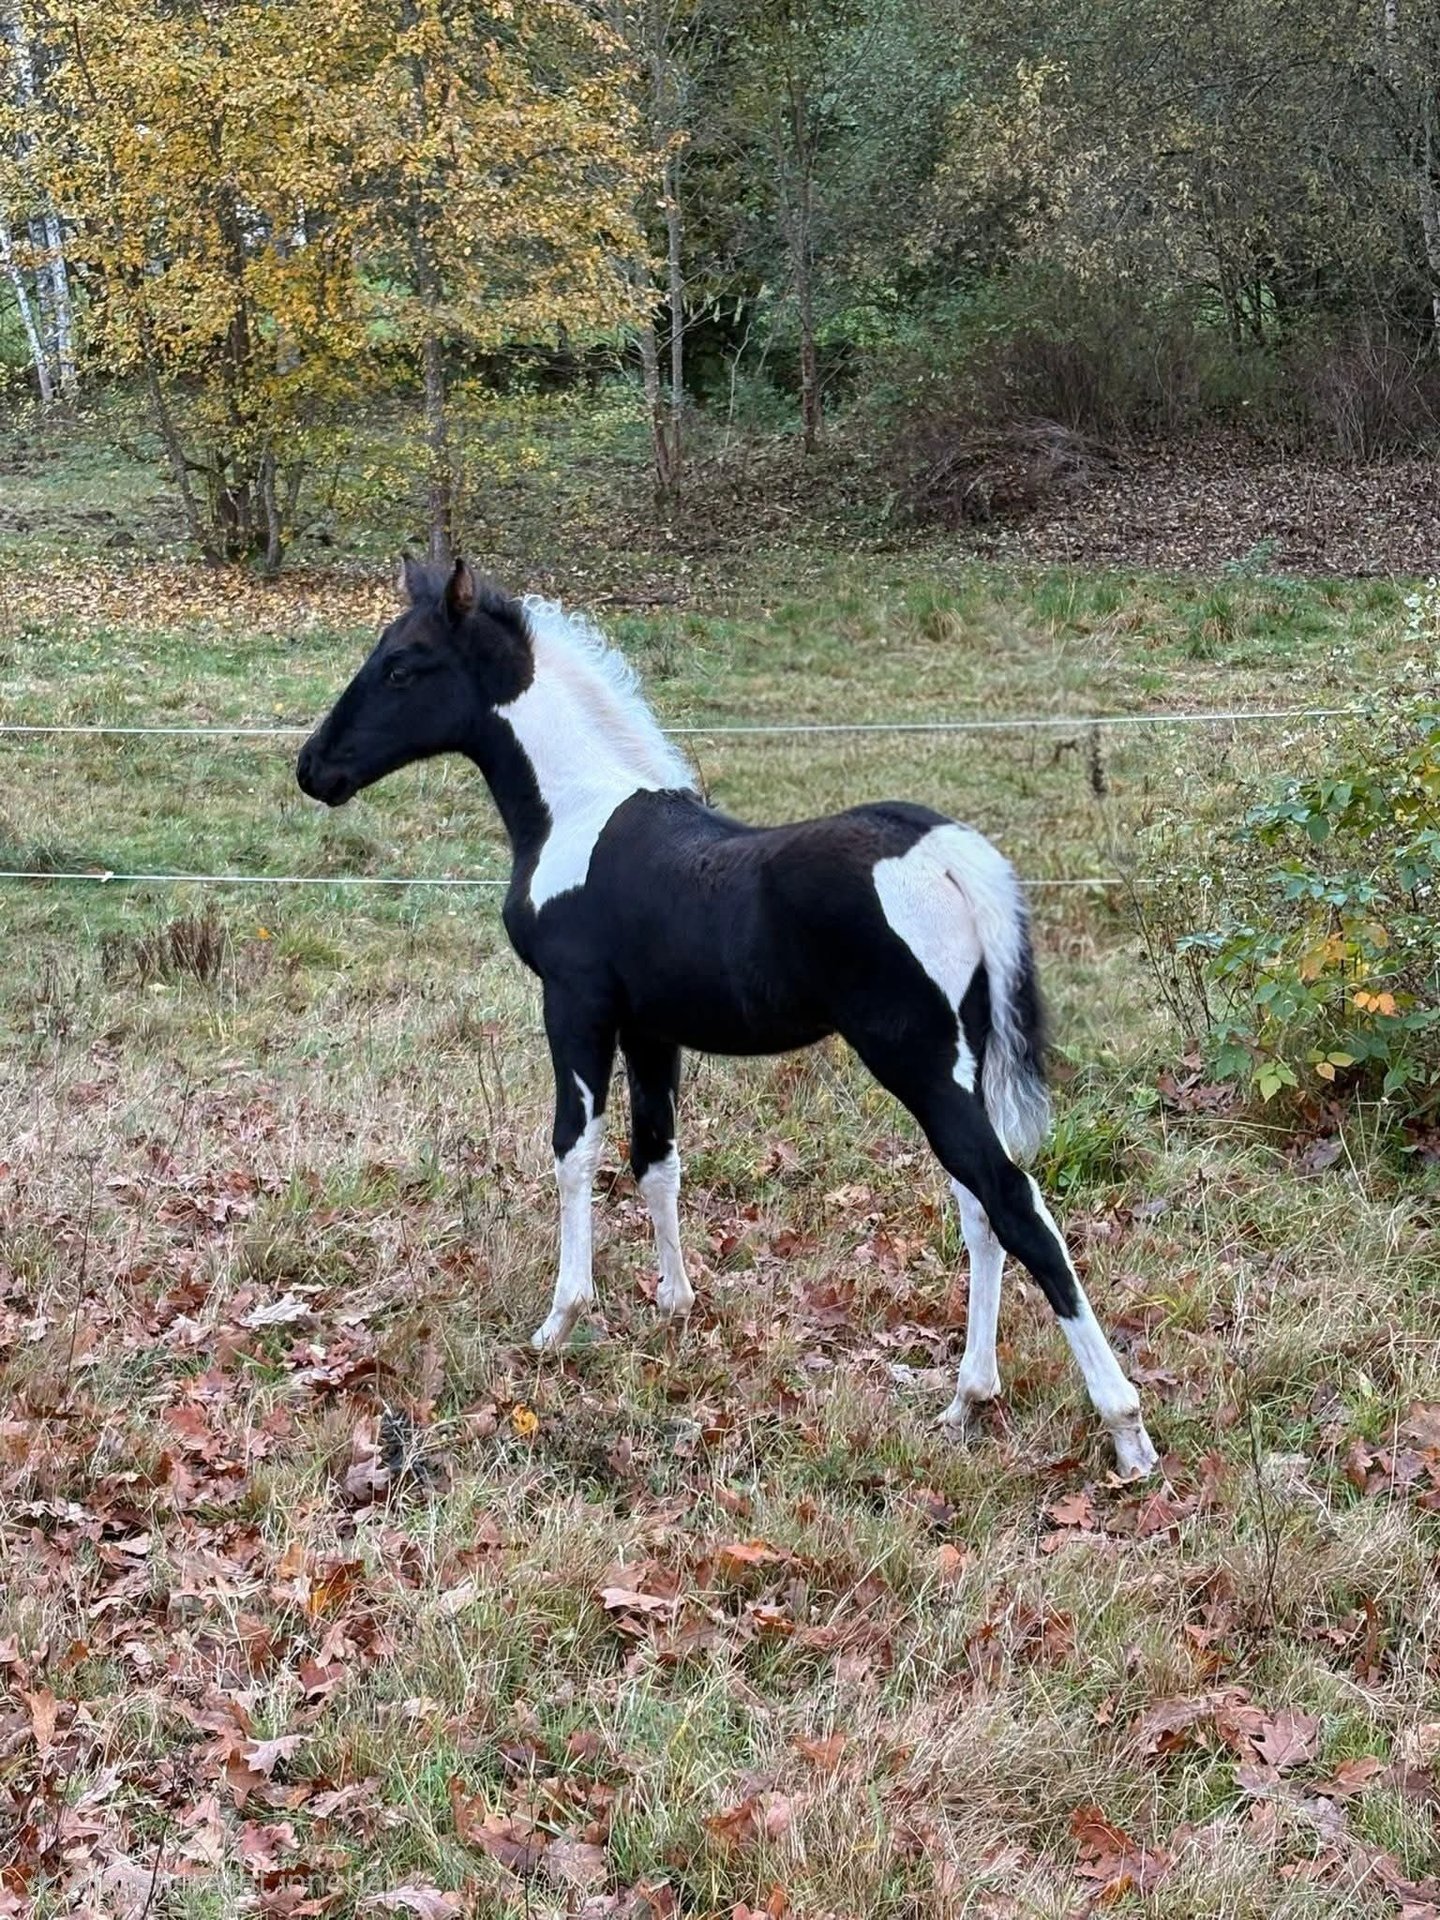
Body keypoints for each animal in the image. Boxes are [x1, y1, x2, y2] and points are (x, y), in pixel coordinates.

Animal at [297, 558, 1158, 1478]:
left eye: (402, 666)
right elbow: (656, 1160)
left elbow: (574, 1152)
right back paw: (967, 1400)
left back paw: (1124, 1429)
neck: (577, 811)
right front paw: (676, 1304)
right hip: (959, 1063)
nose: (314, 768)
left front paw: (559, 1323)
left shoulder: (574, 1005)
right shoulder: (651, 1028)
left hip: (917, 1064)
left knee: (1015, 1204)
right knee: (980, 1213)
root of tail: (947, 853)